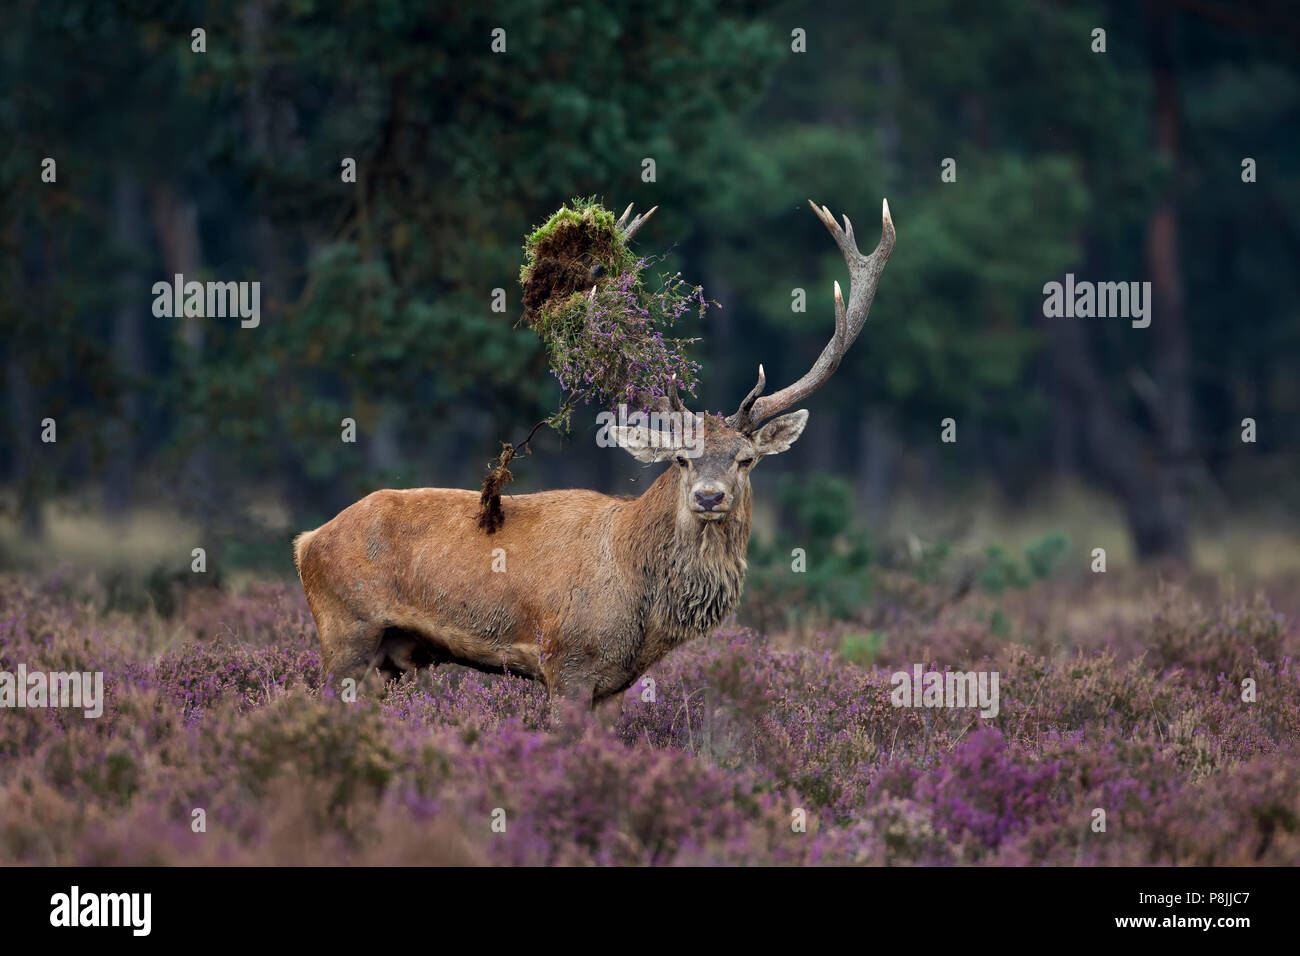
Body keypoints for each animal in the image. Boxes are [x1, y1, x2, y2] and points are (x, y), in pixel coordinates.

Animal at [294, 199, 895, 722]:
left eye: (746, 459)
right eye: (680, 459)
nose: (709, 496)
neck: (641, 606)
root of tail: (307, 541)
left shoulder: (613, 686)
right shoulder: (568, 664)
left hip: (389, 657)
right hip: (345, 629)